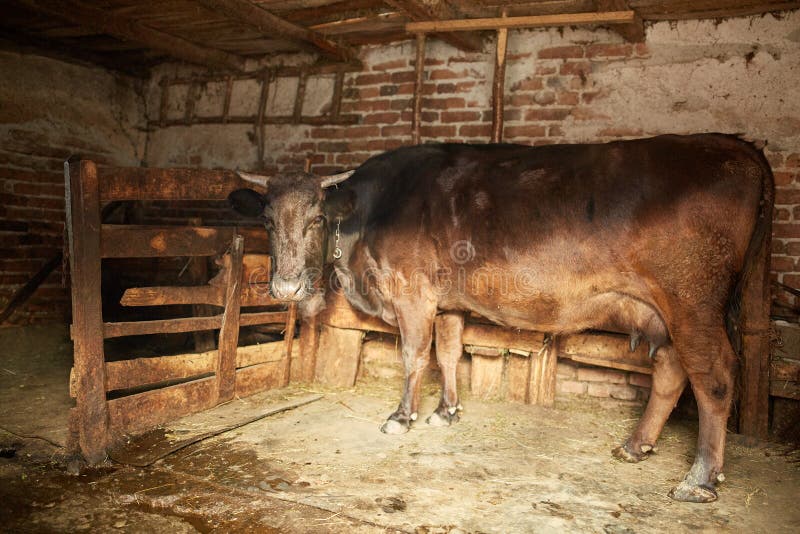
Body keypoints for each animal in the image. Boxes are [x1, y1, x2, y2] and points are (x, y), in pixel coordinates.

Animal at [228, 134, 773, 503]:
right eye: (267, 221)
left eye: (317, 219)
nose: (286, 287)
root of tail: (735, 144)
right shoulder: (447, 301)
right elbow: (449, 352)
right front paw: (446, 411)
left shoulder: (413, 295)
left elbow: (414, 356)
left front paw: (402, 417)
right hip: (666, 311)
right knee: (672, 372)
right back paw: (636, 446)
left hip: (693, 303)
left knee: (715, 377)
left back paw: (700, 478)